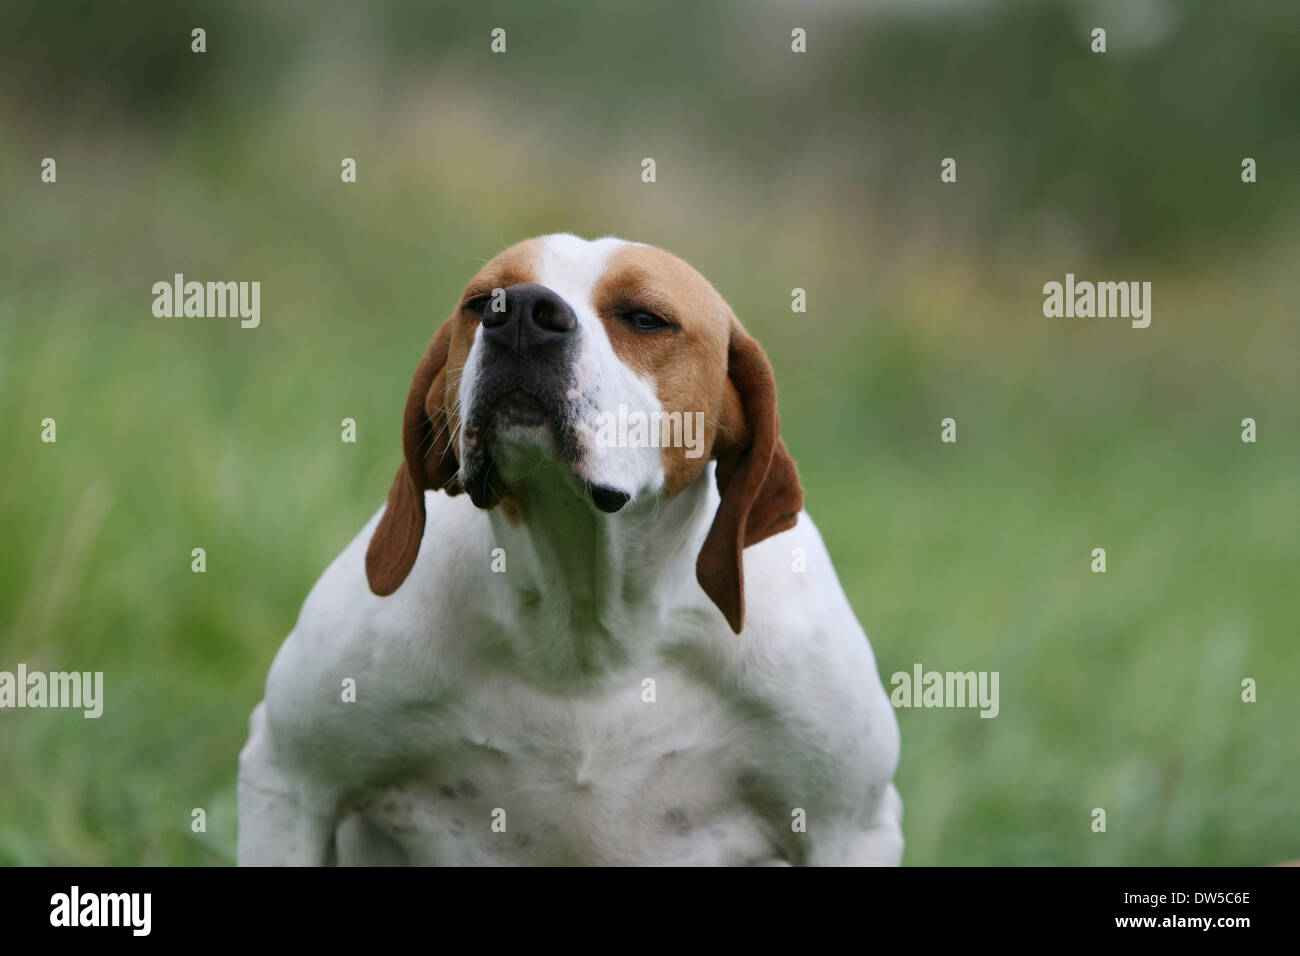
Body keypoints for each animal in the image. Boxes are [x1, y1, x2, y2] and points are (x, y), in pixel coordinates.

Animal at [236, 234, 904, 868]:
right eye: (479, 302)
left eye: (645, 318)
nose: (520, 313)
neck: (587, 620)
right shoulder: (289, 781)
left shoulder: (852, 825)